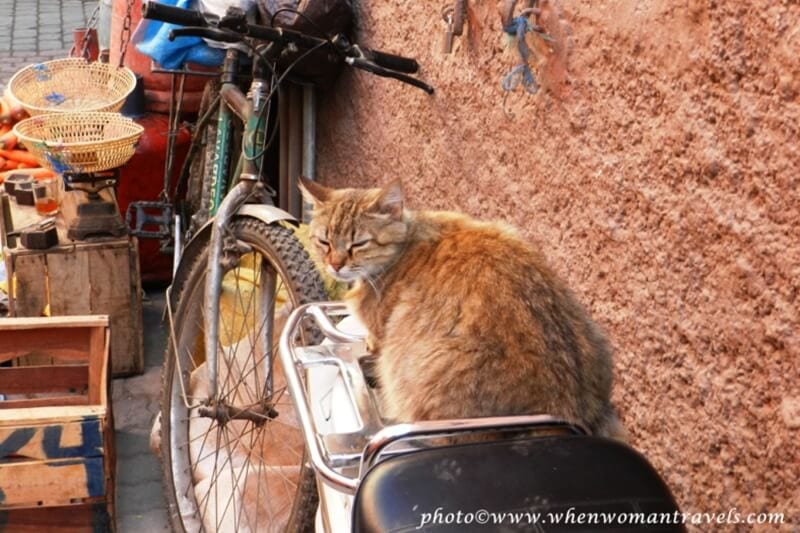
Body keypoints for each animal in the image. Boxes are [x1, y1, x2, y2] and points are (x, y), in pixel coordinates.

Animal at [298, 177, 624, 438]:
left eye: (358, 244)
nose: (335, 265)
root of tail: (568, 406)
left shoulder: (381, 336)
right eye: (324, 241)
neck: (407, 244)